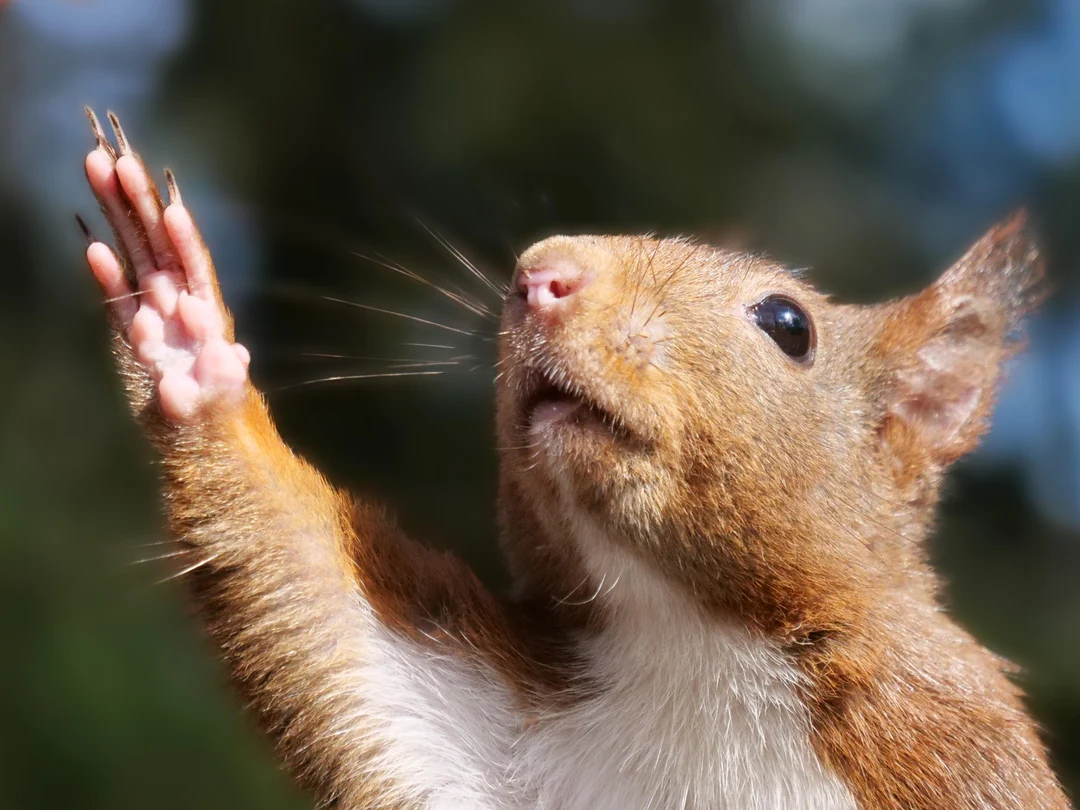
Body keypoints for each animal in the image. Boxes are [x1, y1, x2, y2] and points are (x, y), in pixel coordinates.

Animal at [80, 108, 1070, 810]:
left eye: (789, 324)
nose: (538, 276)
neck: (693, 636)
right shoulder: (482, 722)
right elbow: (325, 615)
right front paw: (184, 332)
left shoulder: (942, 749)